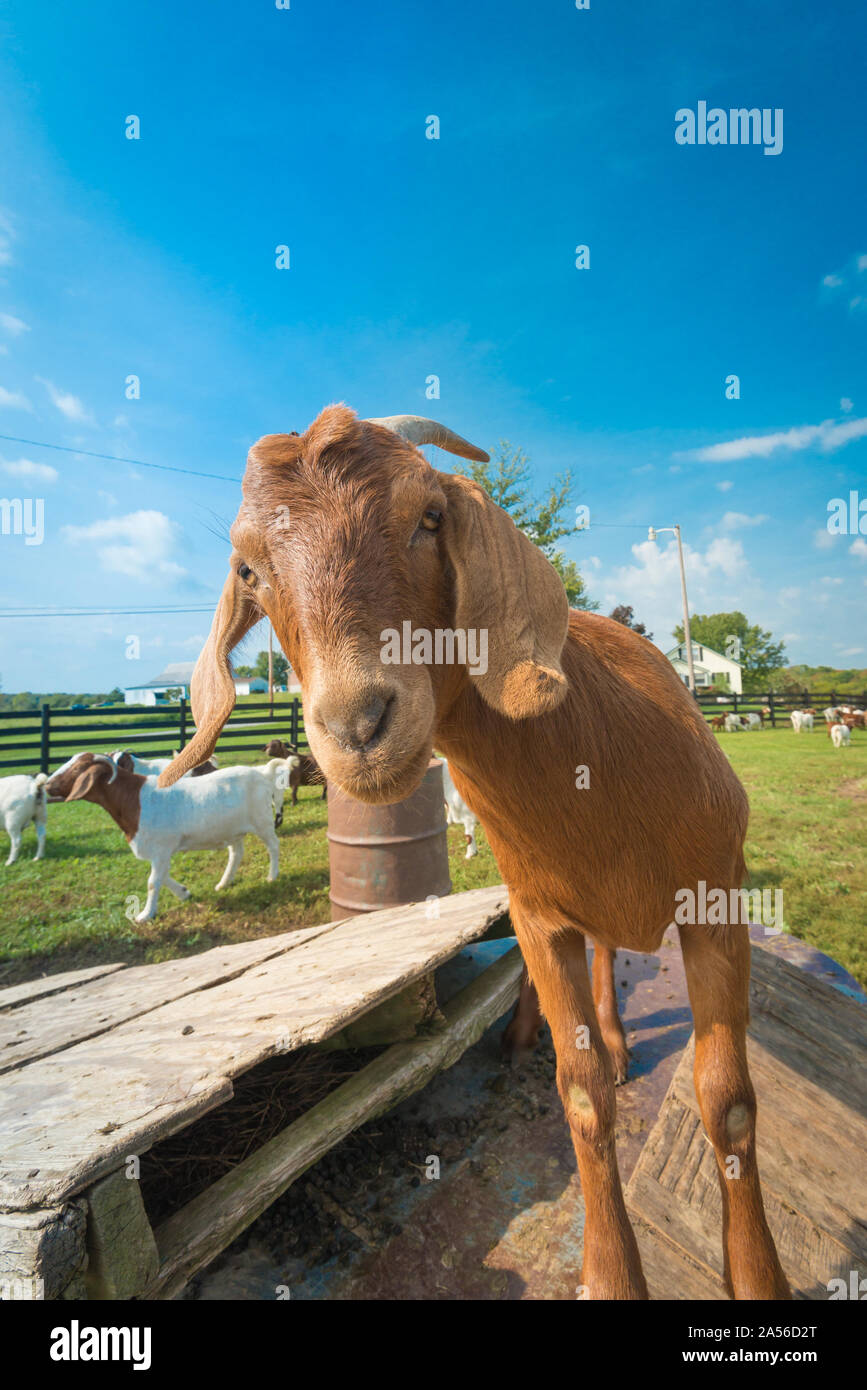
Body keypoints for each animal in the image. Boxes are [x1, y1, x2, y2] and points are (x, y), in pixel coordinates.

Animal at [47, 752, 297, 920]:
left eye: (78, 768)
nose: (48, 784)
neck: (134, 799)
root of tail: (262, 772)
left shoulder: (161, 848)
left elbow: (152, 882)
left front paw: (145, 915)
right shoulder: (160, 851)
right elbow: (161, 876)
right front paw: (184, 893)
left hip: (263, 822)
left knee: (273, 846)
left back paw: (272, 876)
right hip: (232, 830)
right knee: (236, 853)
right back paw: (224, 883)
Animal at [157, 405, 789, 1301]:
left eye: (427, 517)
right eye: (249, 568)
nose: (356, 724)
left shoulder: (716, 898)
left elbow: (728, 1100)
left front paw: (758, 1275)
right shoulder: (537, 915)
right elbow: (581, 1097)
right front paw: (609, 1270)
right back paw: (547, 1033)